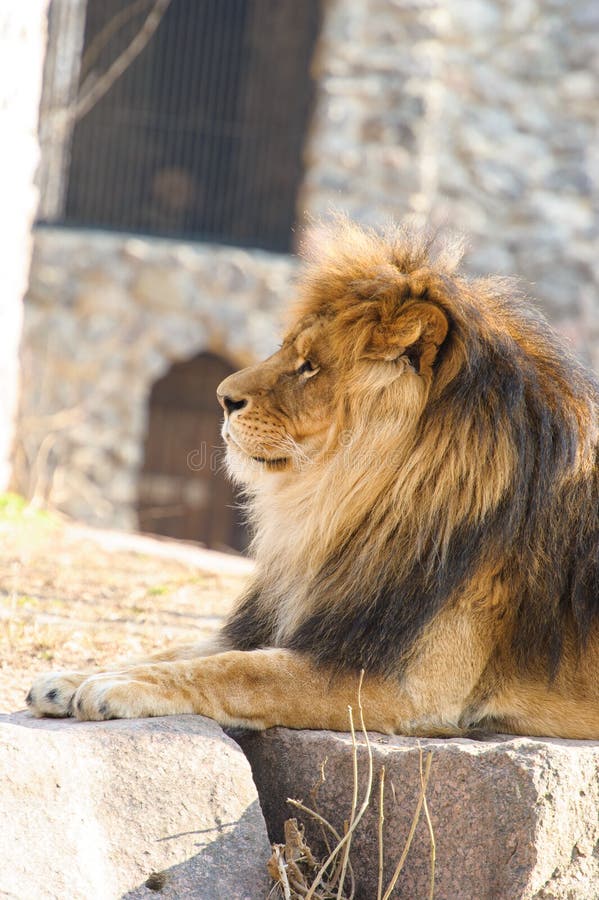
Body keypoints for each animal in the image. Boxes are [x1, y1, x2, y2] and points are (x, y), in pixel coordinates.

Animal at [27, 220, 599, 739]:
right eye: (286, 350)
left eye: (308, 367)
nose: (222, 397)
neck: (341, 504)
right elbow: (184, 647)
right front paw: (70, 678)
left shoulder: (409, 686)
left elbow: (242, 670)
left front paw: (117, 685)